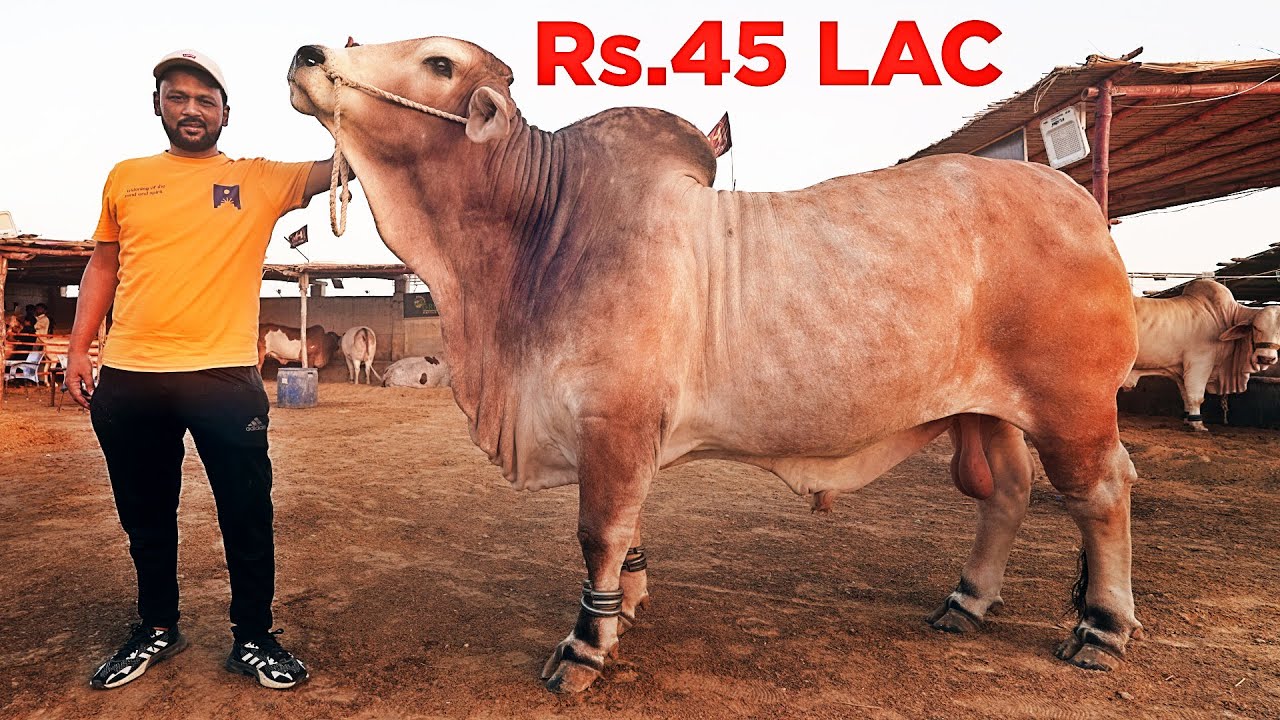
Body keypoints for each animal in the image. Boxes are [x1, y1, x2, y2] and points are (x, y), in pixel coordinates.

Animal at [289, 37, 1142, 692]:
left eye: (437, 61)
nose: (308, 54)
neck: (539, 233)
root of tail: (1077, 203)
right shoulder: (618, 435)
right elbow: (628, 528)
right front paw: (626, 609)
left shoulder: (615, 420)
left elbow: (598, 532)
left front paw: (585, 648)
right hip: (987, 408)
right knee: (1006, 492)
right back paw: (966, 601)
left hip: (1071, 407)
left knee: (1101, 495)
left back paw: (1101, 629)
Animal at [1124, 280, 1280, 431]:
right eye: (1256, 327)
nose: (1266, 358)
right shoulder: (1199, 364)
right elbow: (1196, 396)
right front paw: (1197, 424)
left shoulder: (1180, 370)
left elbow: (1186, 396)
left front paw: (1187, 420)